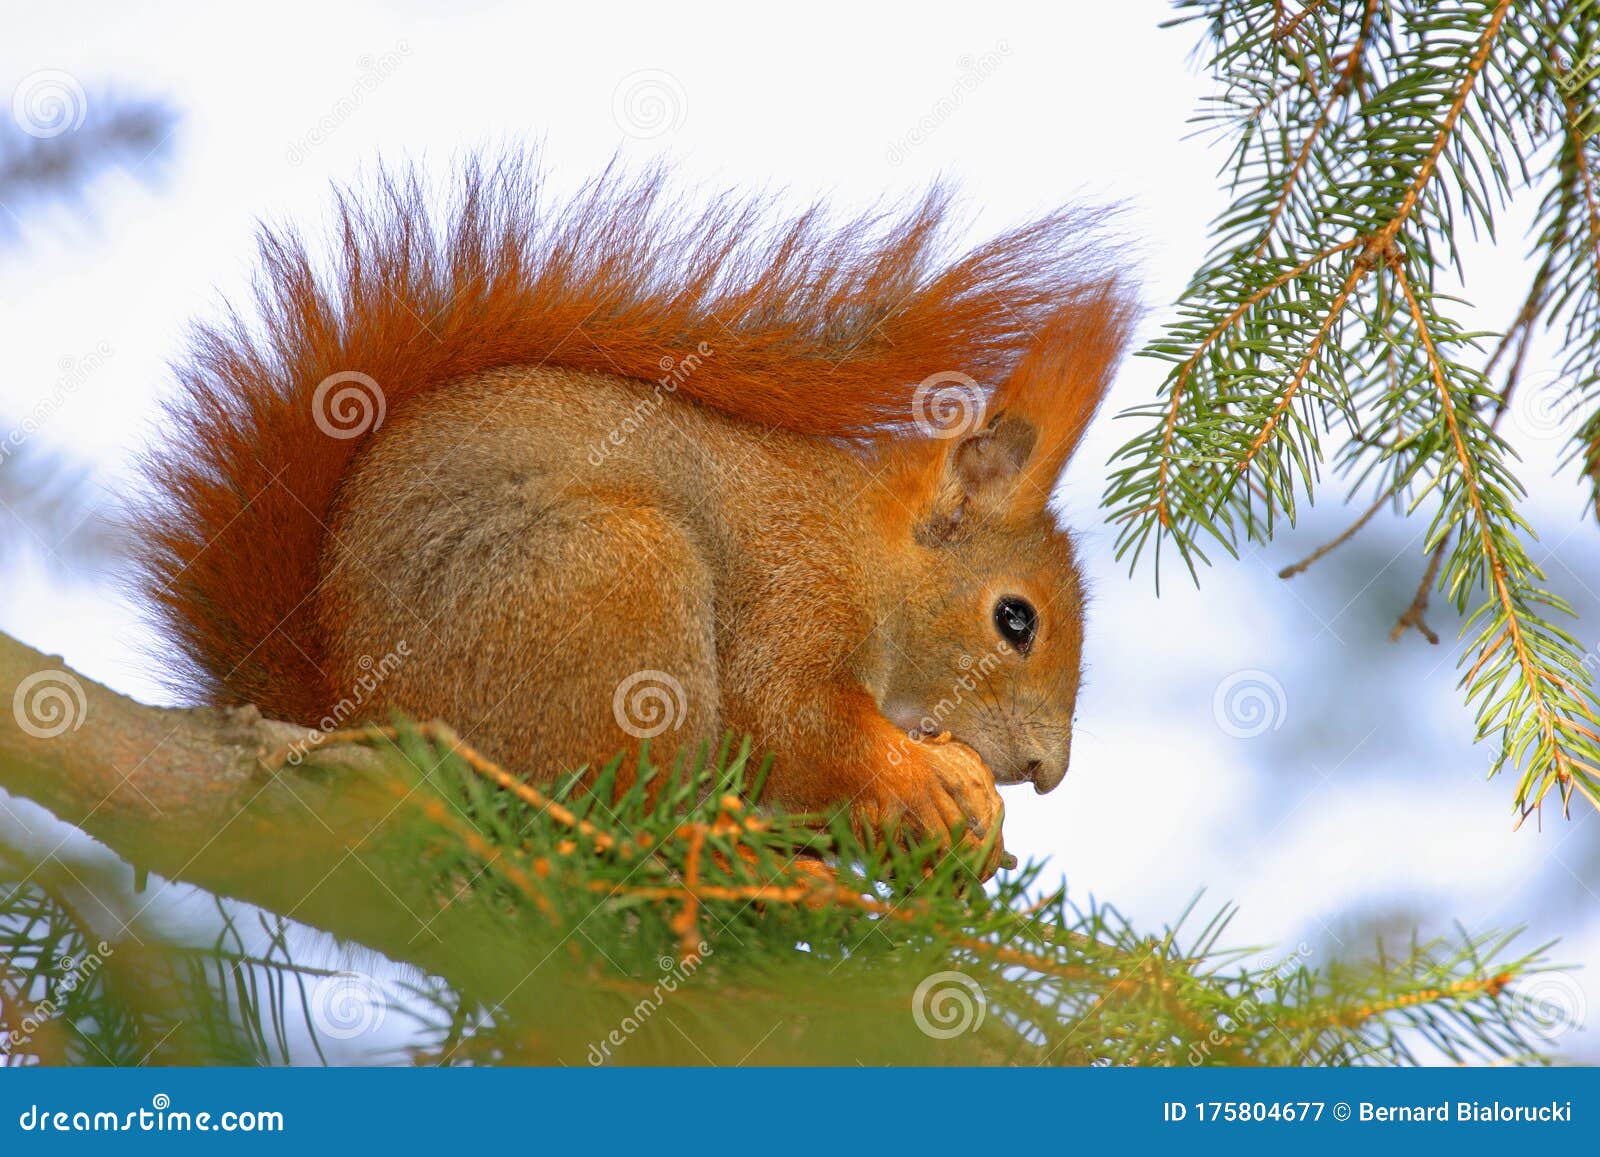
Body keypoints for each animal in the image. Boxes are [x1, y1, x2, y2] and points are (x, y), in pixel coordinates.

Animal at [135, 156, 1134, 877]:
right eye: (1016, 620)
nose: (1048, 772)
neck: (865, 546)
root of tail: (346, 707)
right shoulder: (795, 585)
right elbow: (789, 714)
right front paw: (924, 780)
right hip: (613, 585)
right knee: (614, 809)